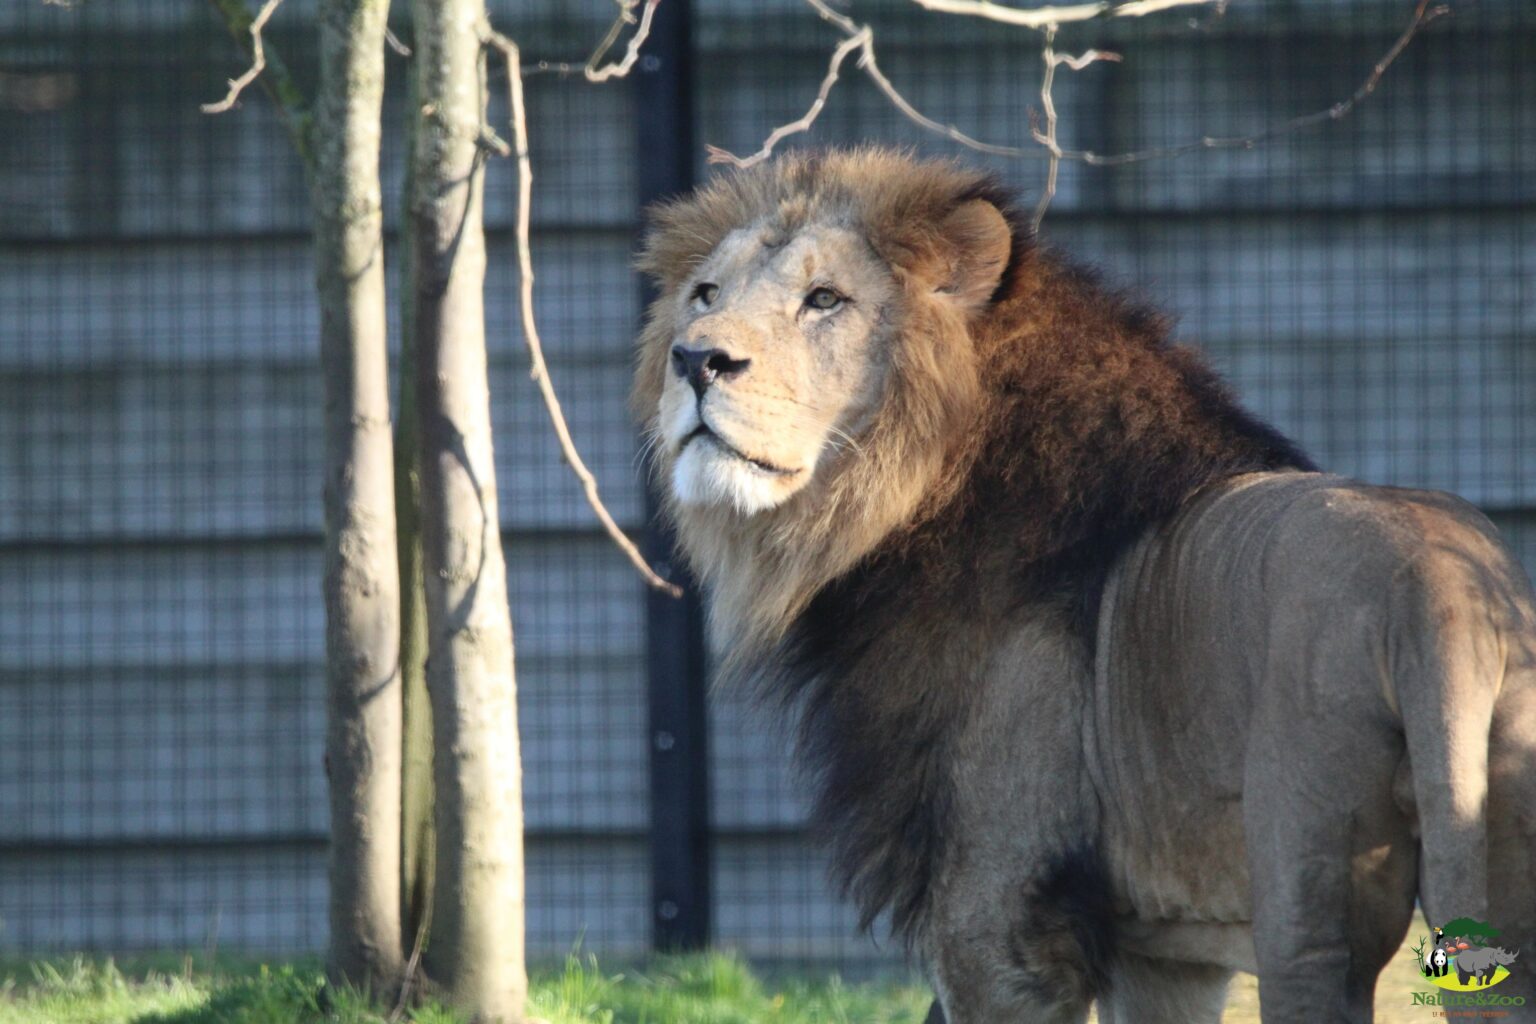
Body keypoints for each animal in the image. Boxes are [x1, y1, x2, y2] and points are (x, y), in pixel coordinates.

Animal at [631, 148, 1536, 1023]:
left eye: (825, 299)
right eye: (705, 294)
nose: (697, 358)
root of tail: (1442, 594)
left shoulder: (994, 915)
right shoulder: (1164, 954)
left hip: (1308, 912)